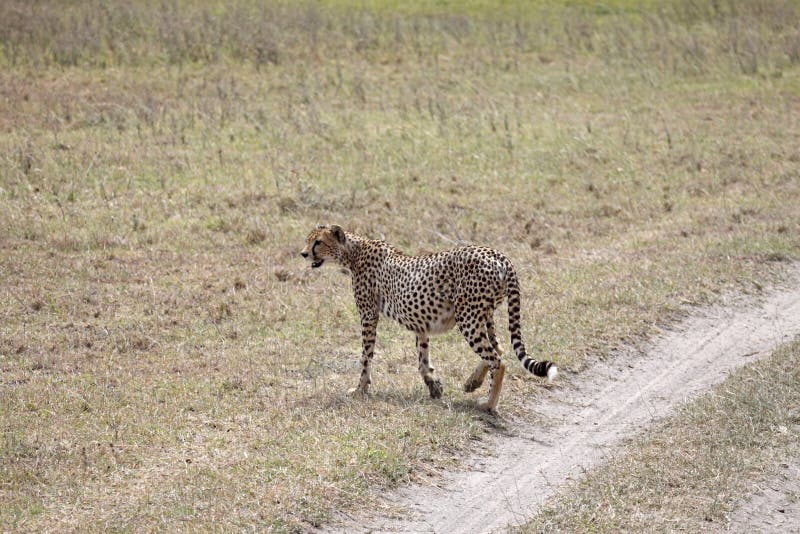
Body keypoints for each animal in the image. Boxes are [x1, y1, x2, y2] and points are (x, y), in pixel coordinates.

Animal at [300, 224, 557, 412]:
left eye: (318, 242)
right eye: (309, 240)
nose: (303, 253)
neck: (353, 252)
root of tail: (498, 254)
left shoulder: (368, 315)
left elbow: (366, 356)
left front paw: (360, 389)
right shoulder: (420, 322)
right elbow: (423, 359)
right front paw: (434, 387)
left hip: (468, 317)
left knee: (498, 359)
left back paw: (488, 404)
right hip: (484, 314)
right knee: (499, 349)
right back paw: (472, 382)